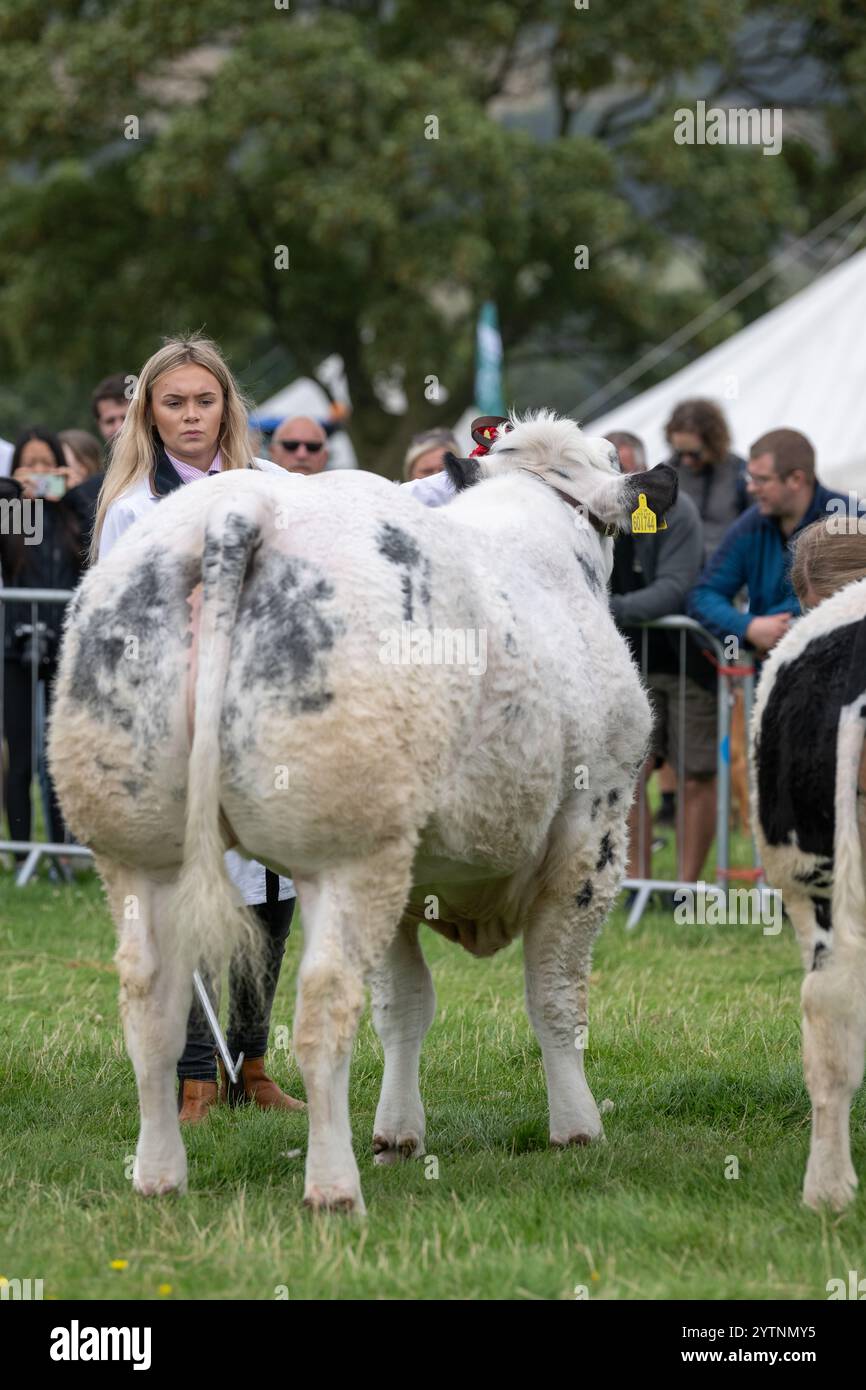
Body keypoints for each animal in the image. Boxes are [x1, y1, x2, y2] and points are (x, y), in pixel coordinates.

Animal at [47, 411, 678, 1213]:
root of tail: (238, 505)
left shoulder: (411, 871)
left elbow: (404, 1006)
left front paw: (398, 1134)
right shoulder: (588, 833)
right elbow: (554, 996)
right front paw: (576, 1127)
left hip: (138, 850)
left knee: (150, 1003)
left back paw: (159, 1176)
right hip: (345, 853)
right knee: (321, 1008)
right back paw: (332, 1187)